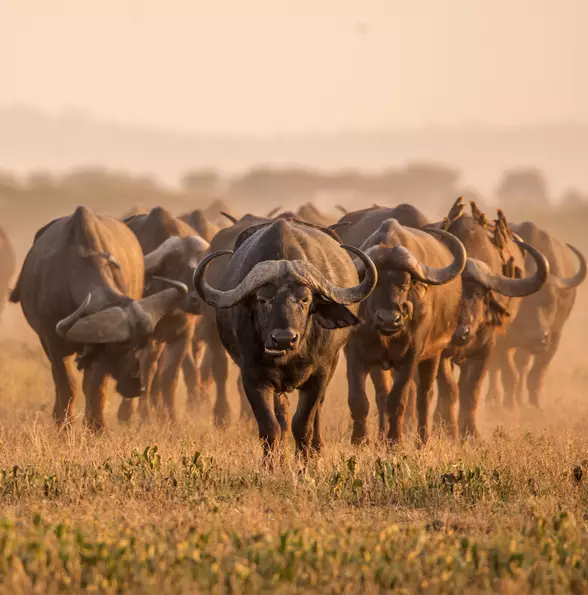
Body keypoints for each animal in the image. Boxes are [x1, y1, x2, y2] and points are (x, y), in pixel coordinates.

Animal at [9, 207, 188, 430]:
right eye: (119, 348)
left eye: (140, 345)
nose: (137, 386)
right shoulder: (53, 342)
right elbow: (66, 384)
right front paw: (63, 425)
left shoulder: (97, 353)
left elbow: (95, 387)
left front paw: (96, 426)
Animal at [193, 218, 376, 456]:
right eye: (262, 300)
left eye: (305, 299)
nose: (283, 338)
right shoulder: (253, 377)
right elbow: (270, 427)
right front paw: (272, 462)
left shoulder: (319, 374)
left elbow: (304, 424)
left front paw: (305, 461)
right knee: (282, 414)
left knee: (317, 410)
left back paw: (317, 448)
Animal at [486, 222, 584, 410]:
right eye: (521, 302)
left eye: (551, 302)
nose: (536, 337)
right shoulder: (501, 339)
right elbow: (508, 374)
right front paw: (509, 406)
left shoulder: (554, 337)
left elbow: (536, 374)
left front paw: (535, 405)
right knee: (495, 368)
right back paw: (494, 398)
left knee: (522, 365)